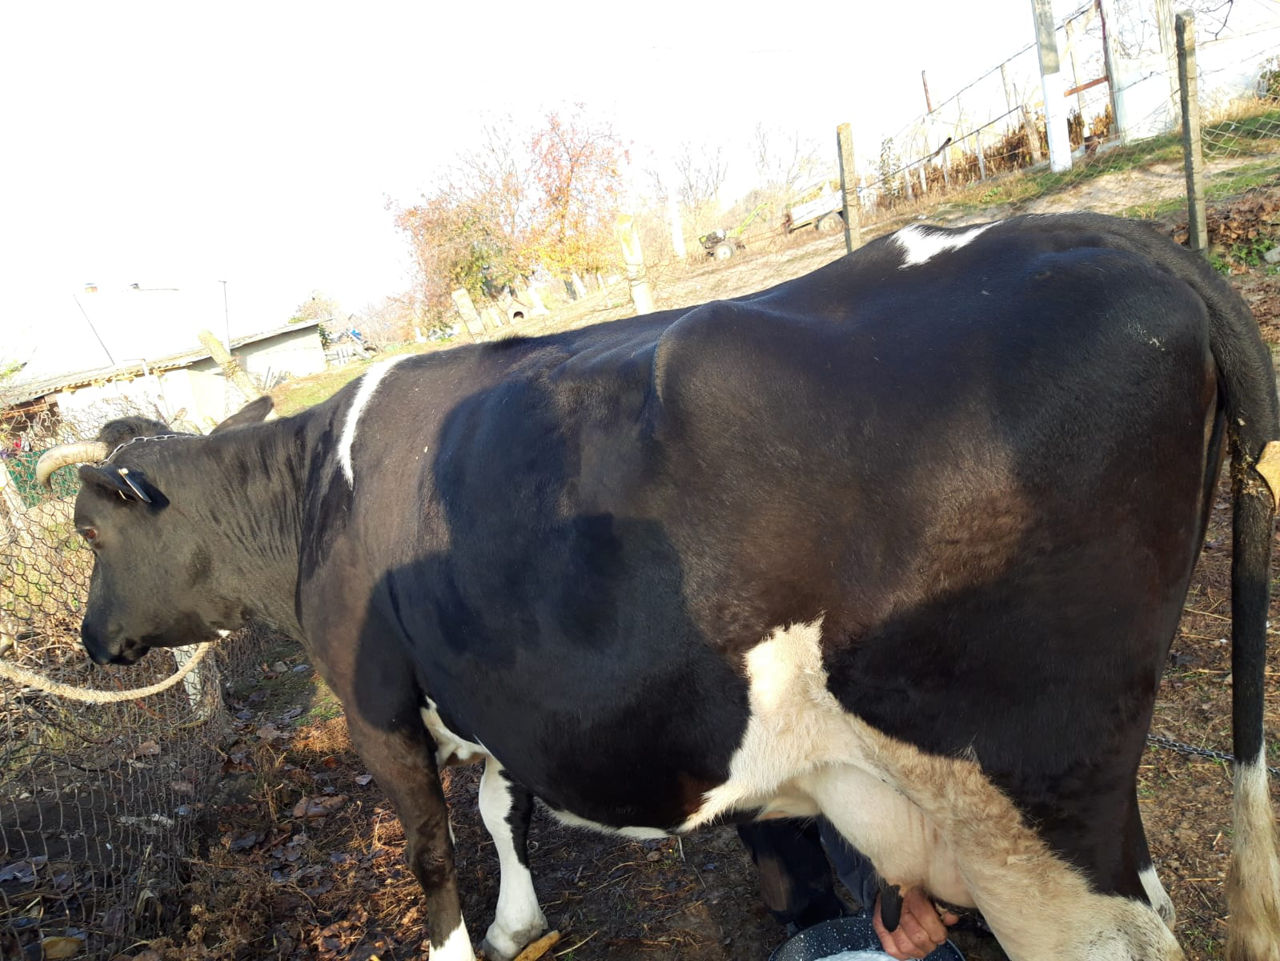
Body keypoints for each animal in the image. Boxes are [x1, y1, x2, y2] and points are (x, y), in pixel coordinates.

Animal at [37, 213, 1280, 961]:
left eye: (88, 529)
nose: (93, 641)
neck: (307, 495)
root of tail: (1122, 236)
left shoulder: (375, 708)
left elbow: (433, 848)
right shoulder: (498, 687)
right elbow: (501, 806)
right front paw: (523, 920)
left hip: (1024, 794)